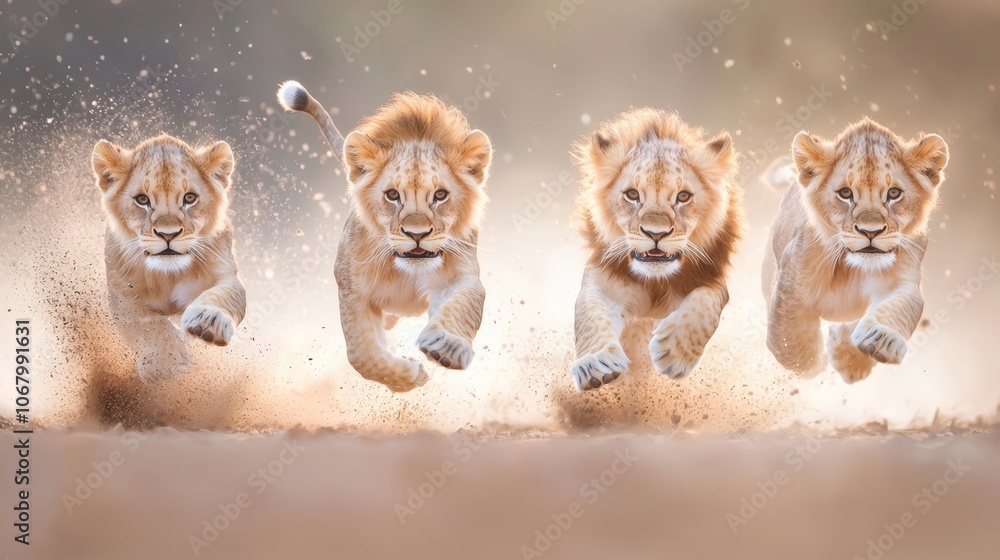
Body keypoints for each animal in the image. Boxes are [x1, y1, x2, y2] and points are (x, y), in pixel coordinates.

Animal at [93, 133, 247, 382]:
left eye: (190, 198)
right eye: (142, 200)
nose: (168, 234)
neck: (168, 276)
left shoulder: (225, 273)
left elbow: (224, 295)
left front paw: (209, 321)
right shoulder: (122, 295)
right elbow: (146, 324)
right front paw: (165, 360)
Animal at [277, 81, 492, 393]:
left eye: (440, 195)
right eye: (392, 195)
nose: (417, 234)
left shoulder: (461, 275)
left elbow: (465, 305)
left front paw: (447, 347)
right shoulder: (352, 290)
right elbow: (361, 353)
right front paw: (409, 376)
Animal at [569, 107, 745, 391]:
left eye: (683, 196)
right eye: (632, 194)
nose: (656, 233)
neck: (655, 283)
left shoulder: (711, 278)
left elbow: (706, 304)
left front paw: (674, 351)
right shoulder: (601, 277)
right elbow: (589, 312)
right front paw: (595, 364)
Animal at [762, 118, 949, 382]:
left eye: (893, 193)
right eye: (845, 193)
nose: (870, 232)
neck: (850, 268)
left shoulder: (903, 278)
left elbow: (903, 305)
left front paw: (870, 346)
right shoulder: (791, 281)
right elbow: (789, 337)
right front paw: (811, 361)